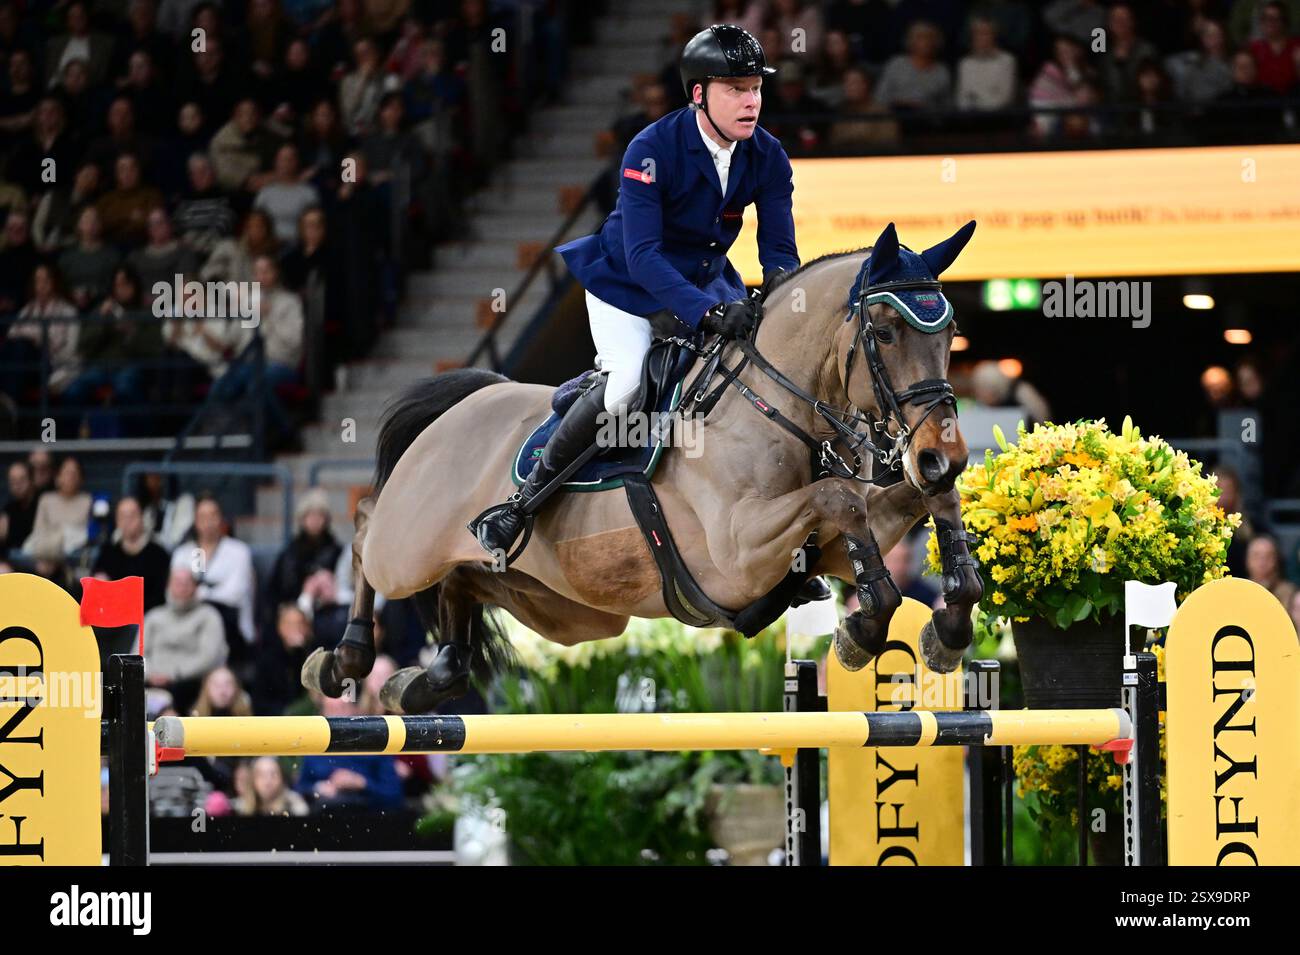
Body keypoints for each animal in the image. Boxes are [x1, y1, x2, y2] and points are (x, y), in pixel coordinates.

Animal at [301, 221, 985, 713]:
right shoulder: (736, 556)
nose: (941, 456)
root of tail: (469, 400)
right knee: (365, 528)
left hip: (563, 610)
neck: (775, 404)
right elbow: (840, 495)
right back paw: (344, 660)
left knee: (464, 583)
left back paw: (430, 678)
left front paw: (949, 621)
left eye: (951, 332)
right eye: (887, 332)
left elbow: (911, 505)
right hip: (409, 546)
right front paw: (865, 629)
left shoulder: (827, 552)